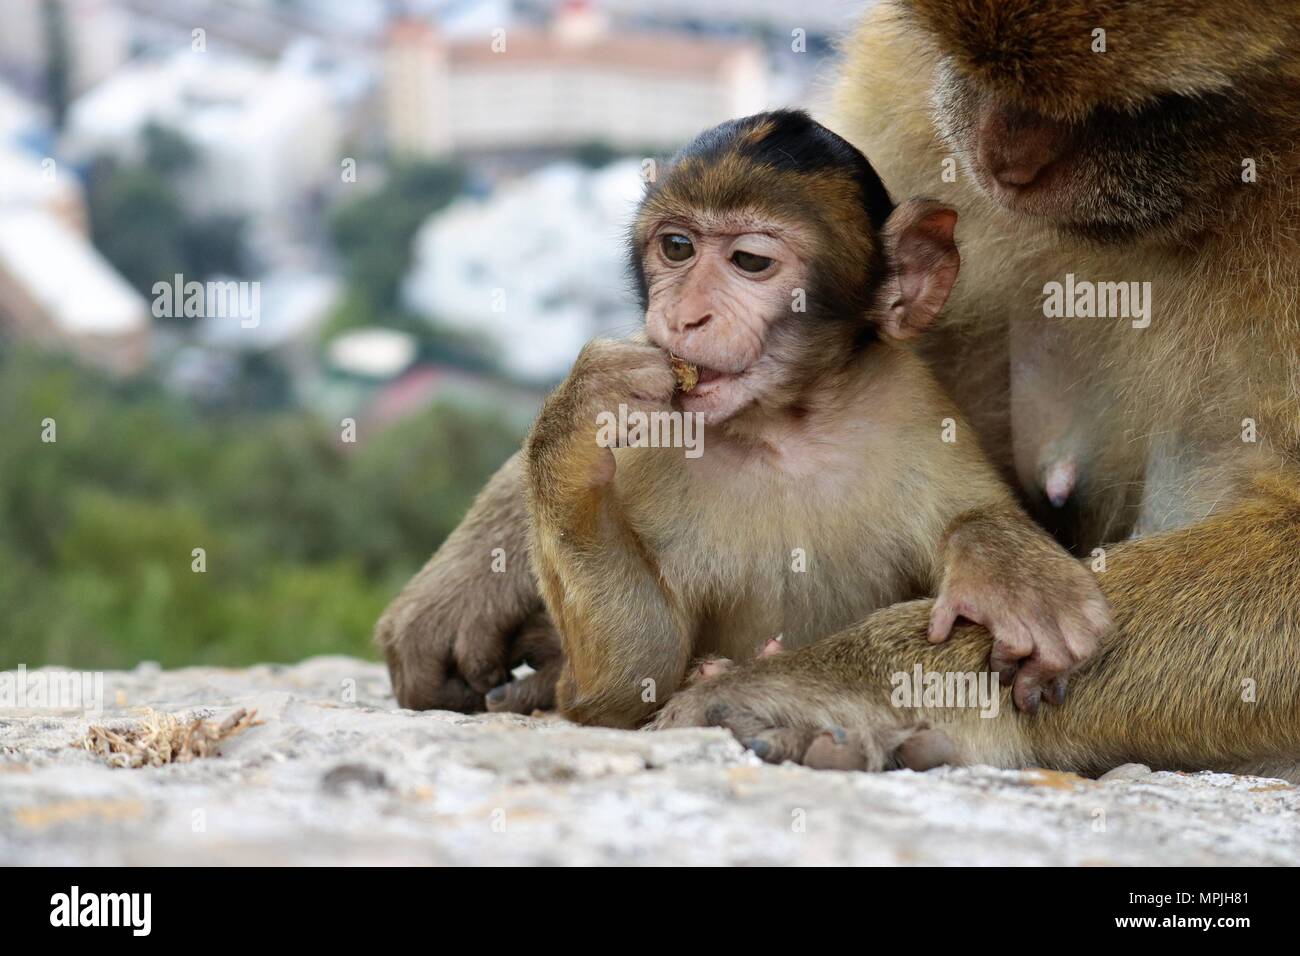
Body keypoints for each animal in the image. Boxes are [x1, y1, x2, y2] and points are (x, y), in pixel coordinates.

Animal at [520, 110, 1109, 728]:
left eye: (750, 261)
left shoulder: (913, 405)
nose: (683, 317)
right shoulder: (651, 449)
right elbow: (626, 685)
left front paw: (1009, 569)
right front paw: (577, 419)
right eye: (677, 247)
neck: (783, 429)